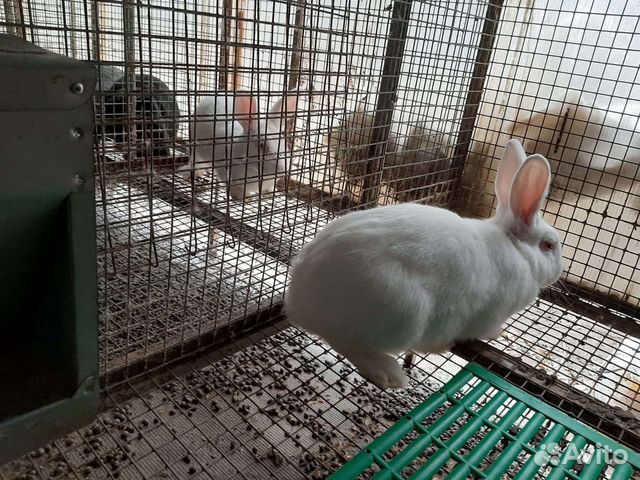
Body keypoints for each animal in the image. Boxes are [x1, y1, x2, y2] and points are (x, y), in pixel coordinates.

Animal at [285, 139, 563, 390]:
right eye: (548, 245)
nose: (559, 273)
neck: (517, 250)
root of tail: (298, 303)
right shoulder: (492, 314)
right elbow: (487, 329)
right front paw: (498, 334)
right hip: (404, 311)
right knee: (346, 343)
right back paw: (389, 374)